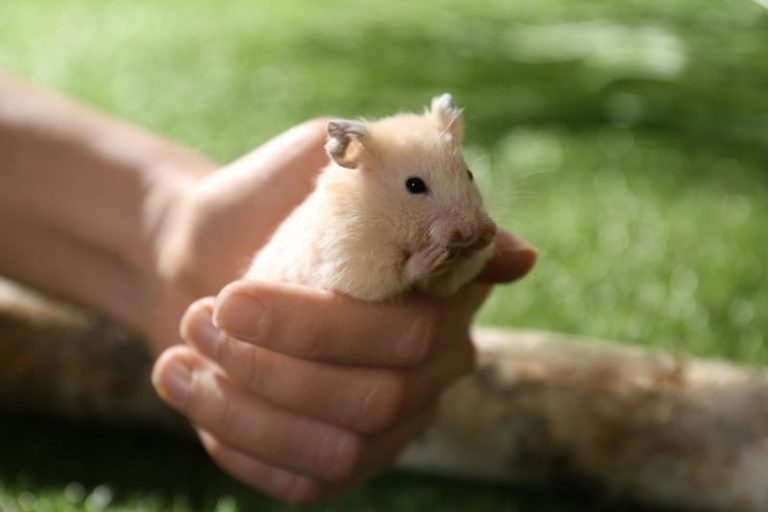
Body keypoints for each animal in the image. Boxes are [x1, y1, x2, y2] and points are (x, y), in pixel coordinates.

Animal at [245, 94, 496, 301]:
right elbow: (391, 276)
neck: (385, 218)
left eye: (469, 174)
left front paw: (487, 233)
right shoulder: (351, 260)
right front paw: (430, 257)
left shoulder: (444, 284)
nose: (469, 231)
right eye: (414, 185)